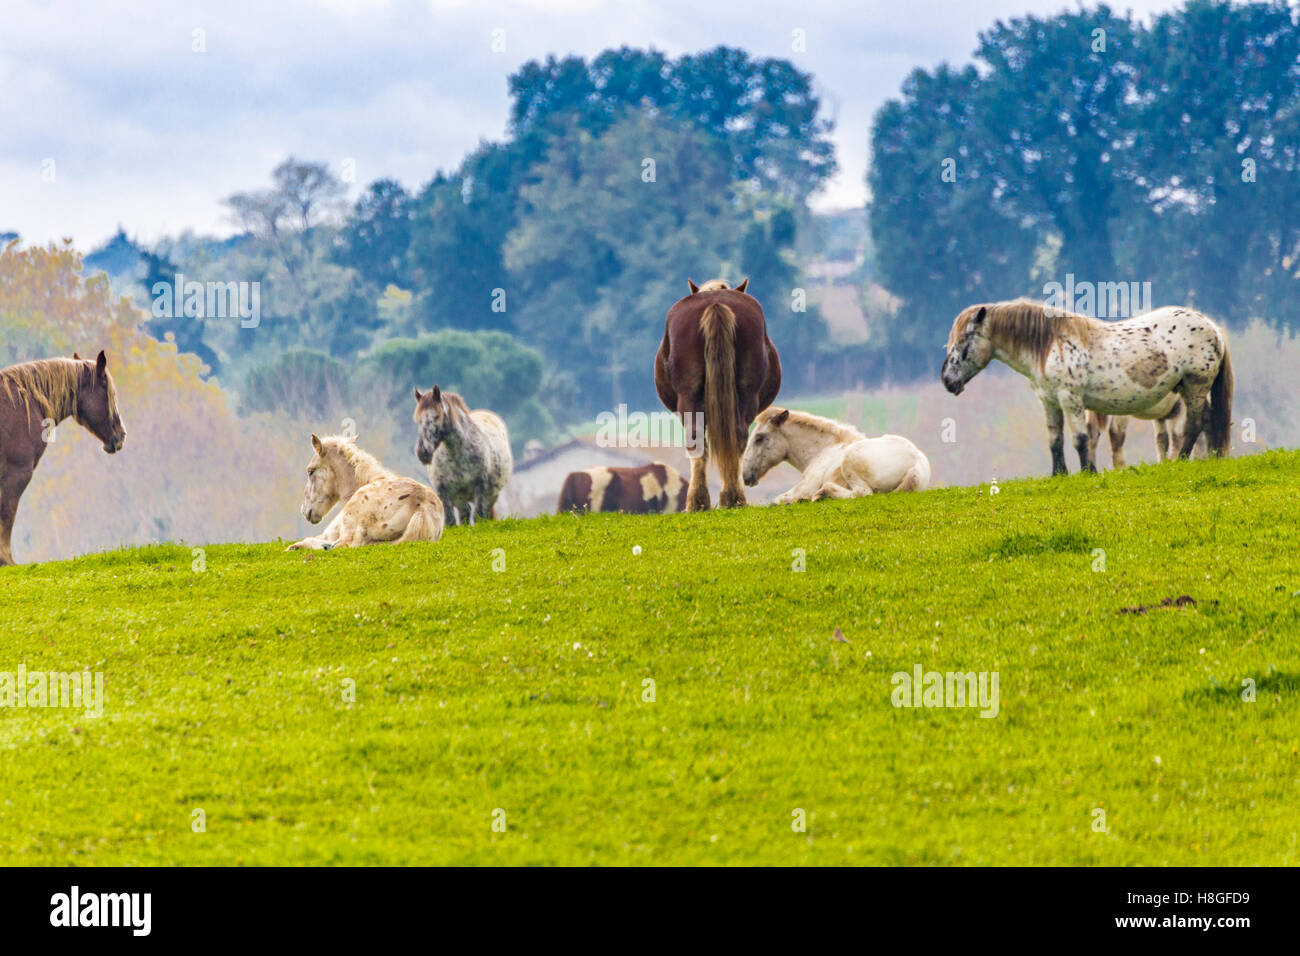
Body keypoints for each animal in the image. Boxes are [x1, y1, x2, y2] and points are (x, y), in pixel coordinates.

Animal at [0, 351, 126, 566]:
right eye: (109, 394)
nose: (121, 435)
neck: (25, 403)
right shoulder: (16, 474)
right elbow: (7, 513)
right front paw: (6, 560)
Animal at [412, 386, 513, 525]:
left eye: (437, 416)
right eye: (418, 420)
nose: (423, 452)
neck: (457, 456)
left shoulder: (480, 489)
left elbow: (478, 517)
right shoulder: (444, 492)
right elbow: (450, 522)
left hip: (490, 495)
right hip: (460, 498)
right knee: (464, 514)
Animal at [654, 277, 781, 510]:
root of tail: (716, 304)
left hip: (692, 396)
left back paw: (710, 500)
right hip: (743, 394)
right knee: (728, 437)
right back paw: (725, 498)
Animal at [742, 407, 931, 503]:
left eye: (759, 438)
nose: (745, 476)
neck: (824, 450)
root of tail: (916, 465)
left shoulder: (807, 485)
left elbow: (779, 499)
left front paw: (802, 498)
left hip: (849, 462)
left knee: (862, 493)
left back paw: (821, 494)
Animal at [941, 299, 1233, 475]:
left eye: (966, 339)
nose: (947, 380)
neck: (1049, 344)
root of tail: (1212, 328)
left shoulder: (1071, 399)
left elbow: (1080, 439)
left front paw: (1087, 472)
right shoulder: (1049, 402)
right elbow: (1055, 440)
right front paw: (1059, 474)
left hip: (1195, 386)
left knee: (1193, 425)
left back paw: (1181, 460)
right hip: (1187, 389)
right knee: (1206, 422)